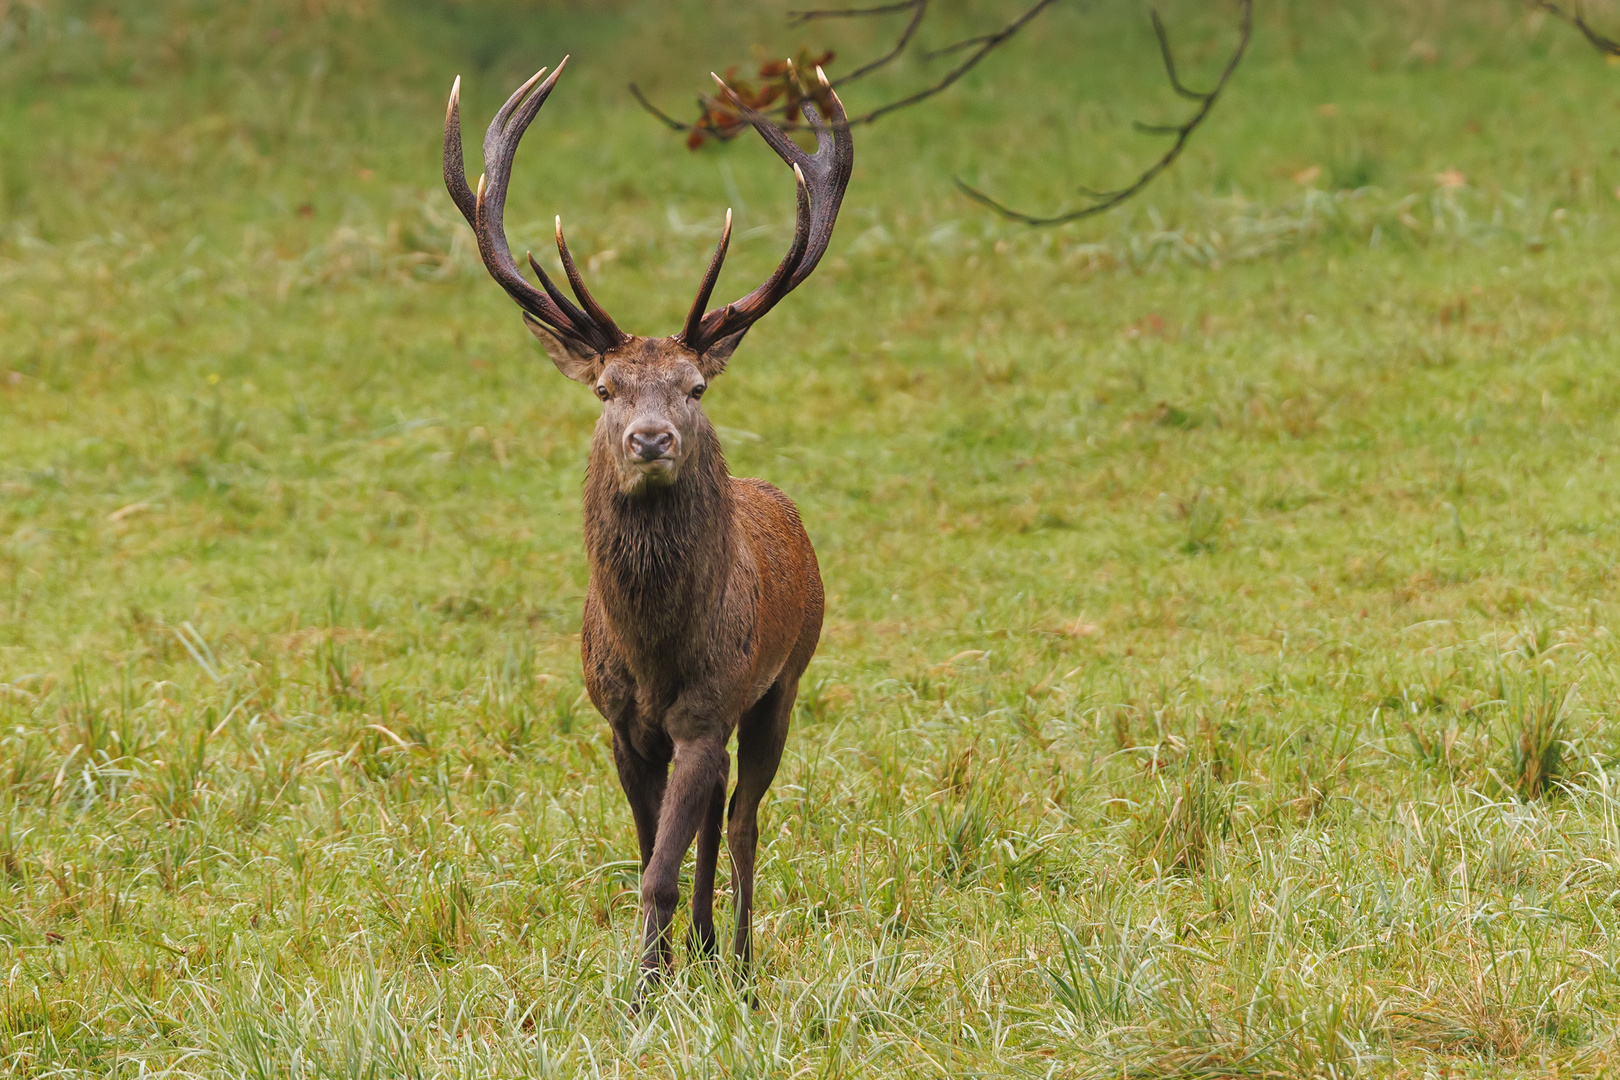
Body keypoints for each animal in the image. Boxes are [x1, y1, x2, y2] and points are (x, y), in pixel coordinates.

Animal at [442, 57, 852, 988]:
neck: (656, 651)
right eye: (606, 390)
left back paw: (739, 961)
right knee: (714, 813)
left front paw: (643, 992)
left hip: (784, 680)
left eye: (694, 388)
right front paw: (658, 972)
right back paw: (703, 946)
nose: (652, 438)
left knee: (742, 817)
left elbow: (663, 865)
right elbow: (644, 849)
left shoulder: (708, 706)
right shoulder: (621, 724)